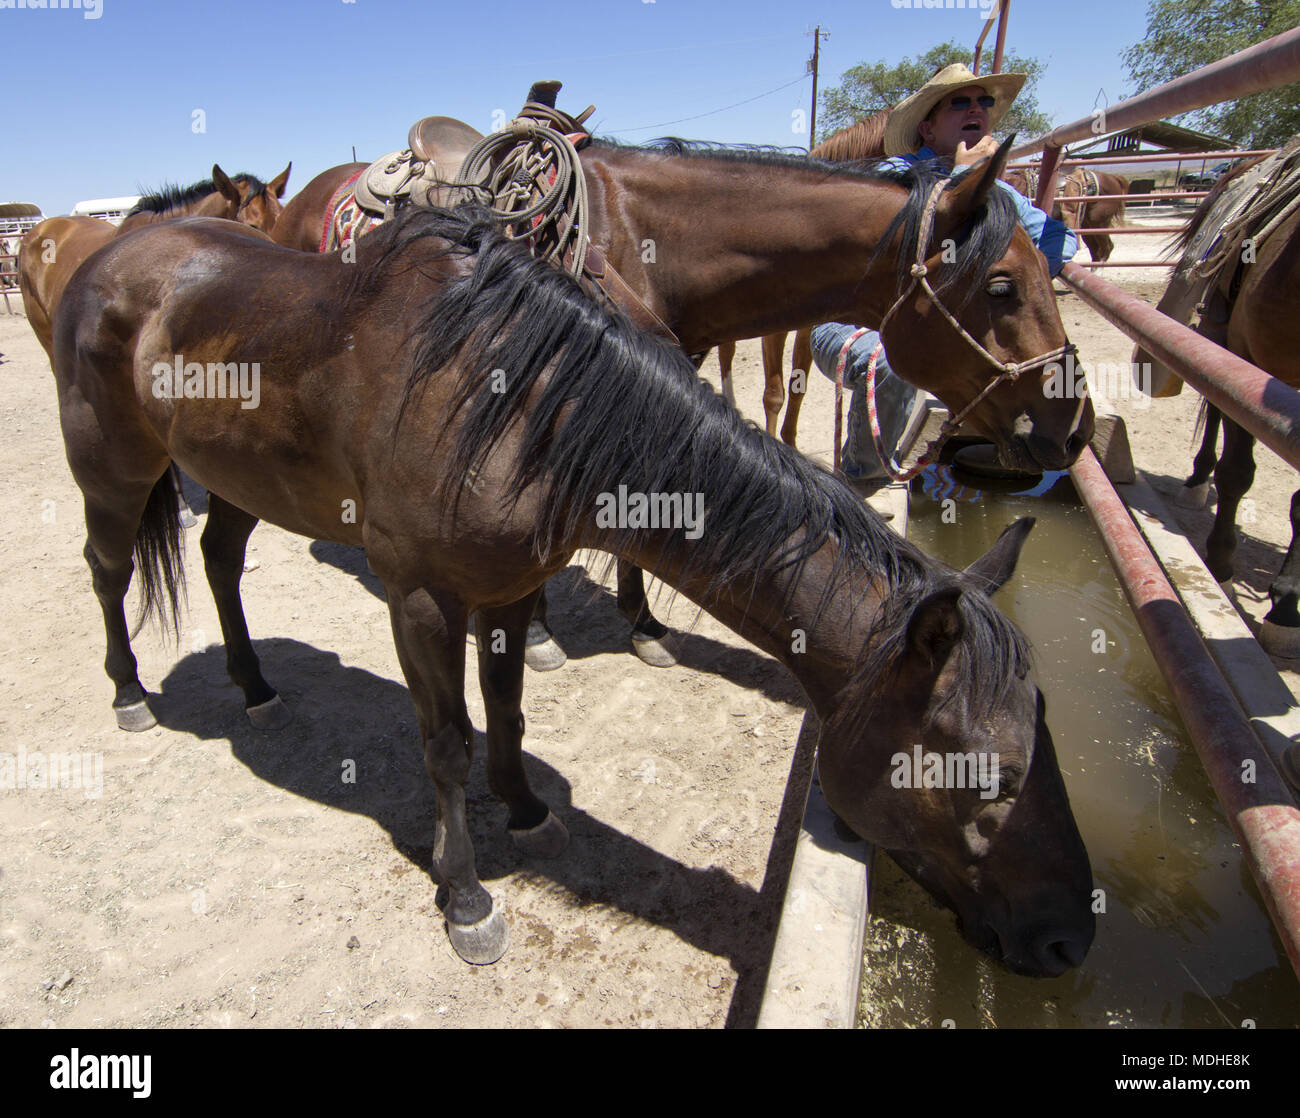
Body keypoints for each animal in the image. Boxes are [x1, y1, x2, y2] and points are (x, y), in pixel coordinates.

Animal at [51, 203, 1095, 975]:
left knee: (222, 558)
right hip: (113, 471)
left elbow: (508, 706)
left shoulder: (512, 588)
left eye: (1047, 744)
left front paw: (522, 809)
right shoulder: (421, 598)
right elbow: (447, 743)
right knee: (108, 573)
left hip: (233, 478)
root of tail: (108, 253)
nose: (1070, 938)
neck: (518, 402)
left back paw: (256, 684)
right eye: (991, 780)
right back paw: (129, 692)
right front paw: (467, 898)